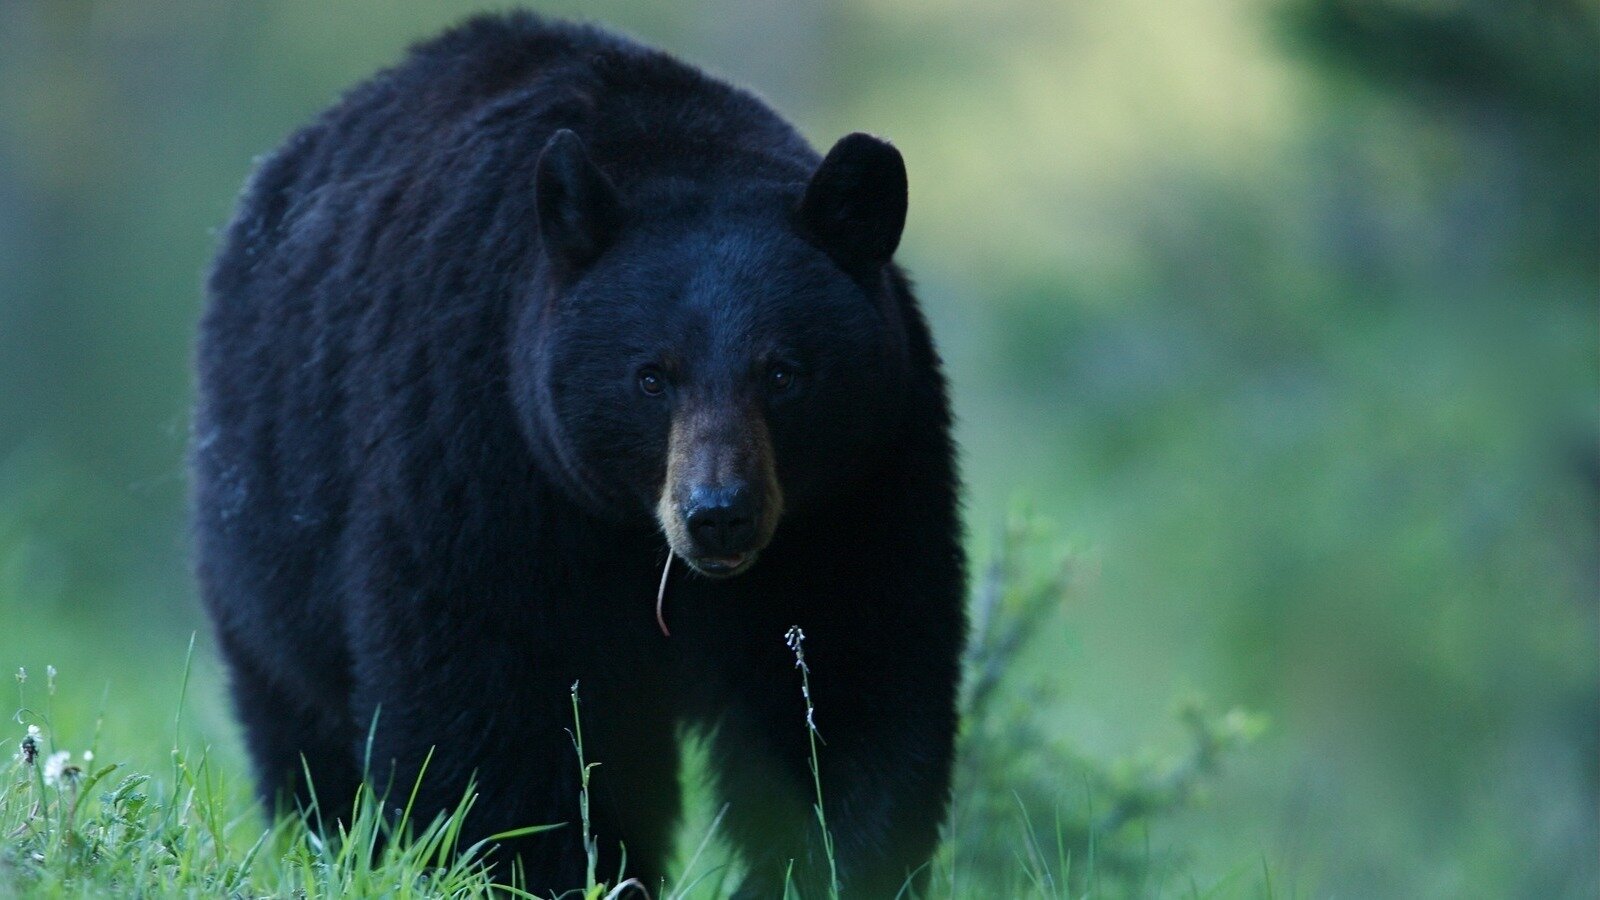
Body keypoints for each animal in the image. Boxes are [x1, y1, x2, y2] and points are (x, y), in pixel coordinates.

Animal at [193, 12, 965, 897]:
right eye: (651, 375)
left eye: (783, 372)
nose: (719, 516)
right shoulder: (479, 454)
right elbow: (489, 700)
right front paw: (527, 867)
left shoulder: (860, 490)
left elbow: (848, 686)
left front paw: (836, 867)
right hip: (269, 518)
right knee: (301, 723)